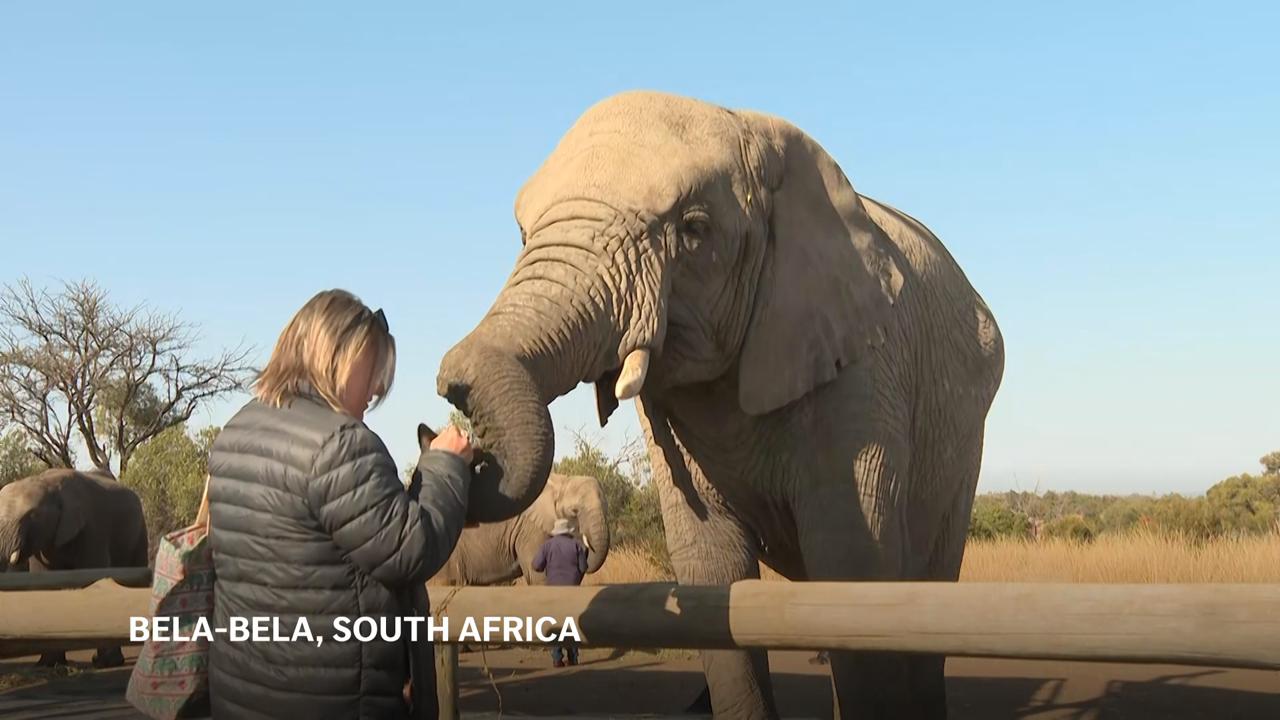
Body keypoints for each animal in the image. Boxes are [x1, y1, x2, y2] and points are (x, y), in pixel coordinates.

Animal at [0, 468, 150, 668]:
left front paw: (105, 663)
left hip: (139, 532)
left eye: (32, 515)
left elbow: (96, 577)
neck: (48, 483)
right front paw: (49, 665)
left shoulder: (92, 525)